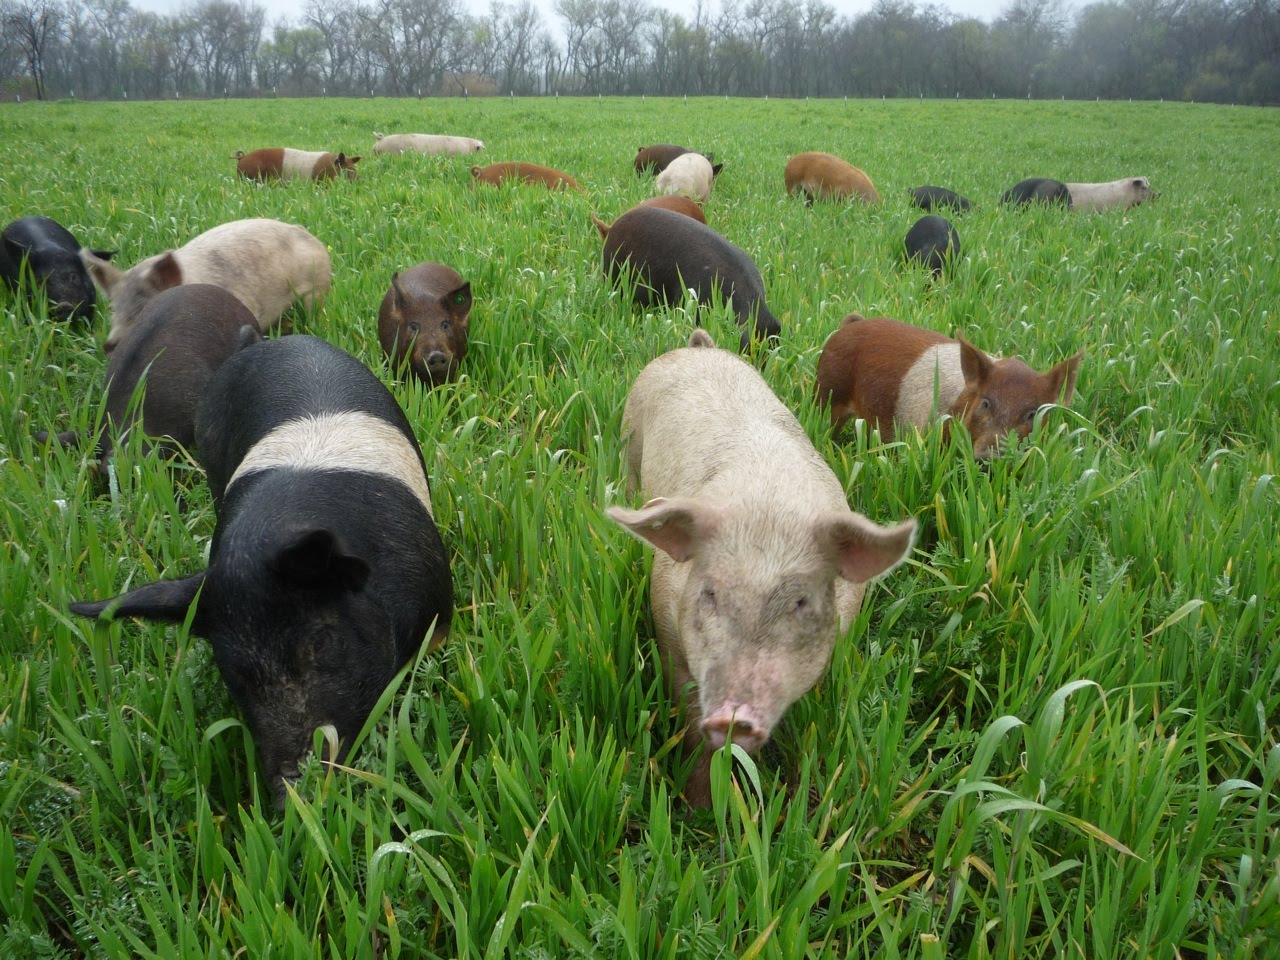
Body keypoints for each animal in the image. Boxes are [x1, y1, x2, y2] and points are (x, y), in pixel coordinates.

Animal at [607, 330, 916, 807]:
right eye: (710, 593)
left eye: (801, 602)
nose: (733, 716)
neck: (766, 508)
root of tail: (696, 348)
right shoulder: (666, 629)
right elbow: (688, 718)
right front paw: (700, 804)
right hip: (630, 434)